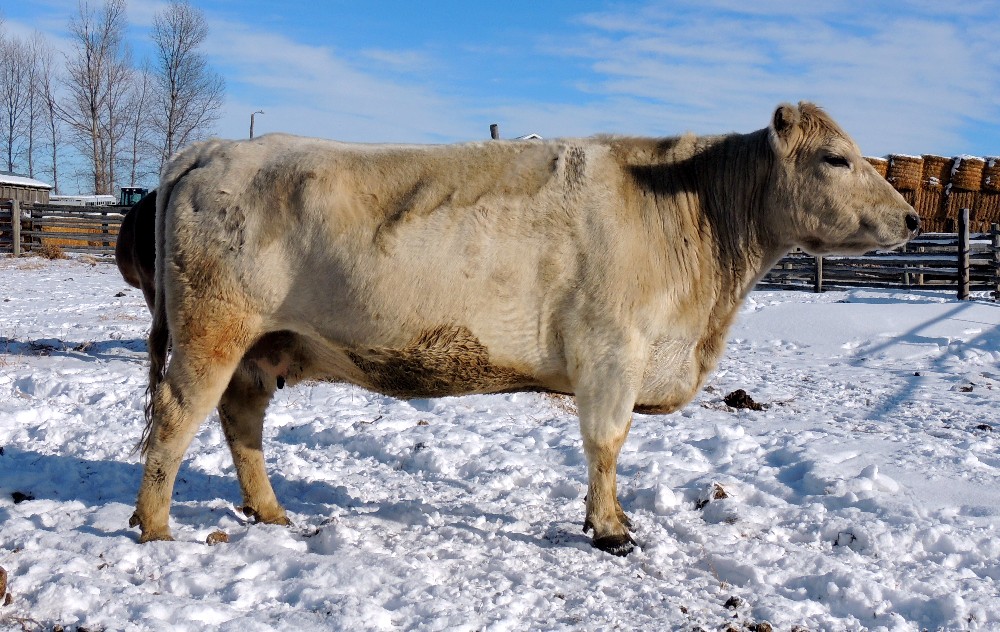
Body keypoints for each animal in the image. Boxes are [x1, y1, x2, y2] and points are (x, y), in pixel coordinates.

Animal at [128, 102, 919, 555]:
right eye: (836, 157)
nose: (912, 218)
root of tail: (214, 149)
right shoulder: (611, 351)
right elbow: (607, 444)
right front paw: (611, 530)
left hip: (259, 347)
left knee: (241, 423)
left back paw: (269, 513)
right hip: (211, 331)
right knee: (175, 418)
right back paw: (156, 526)